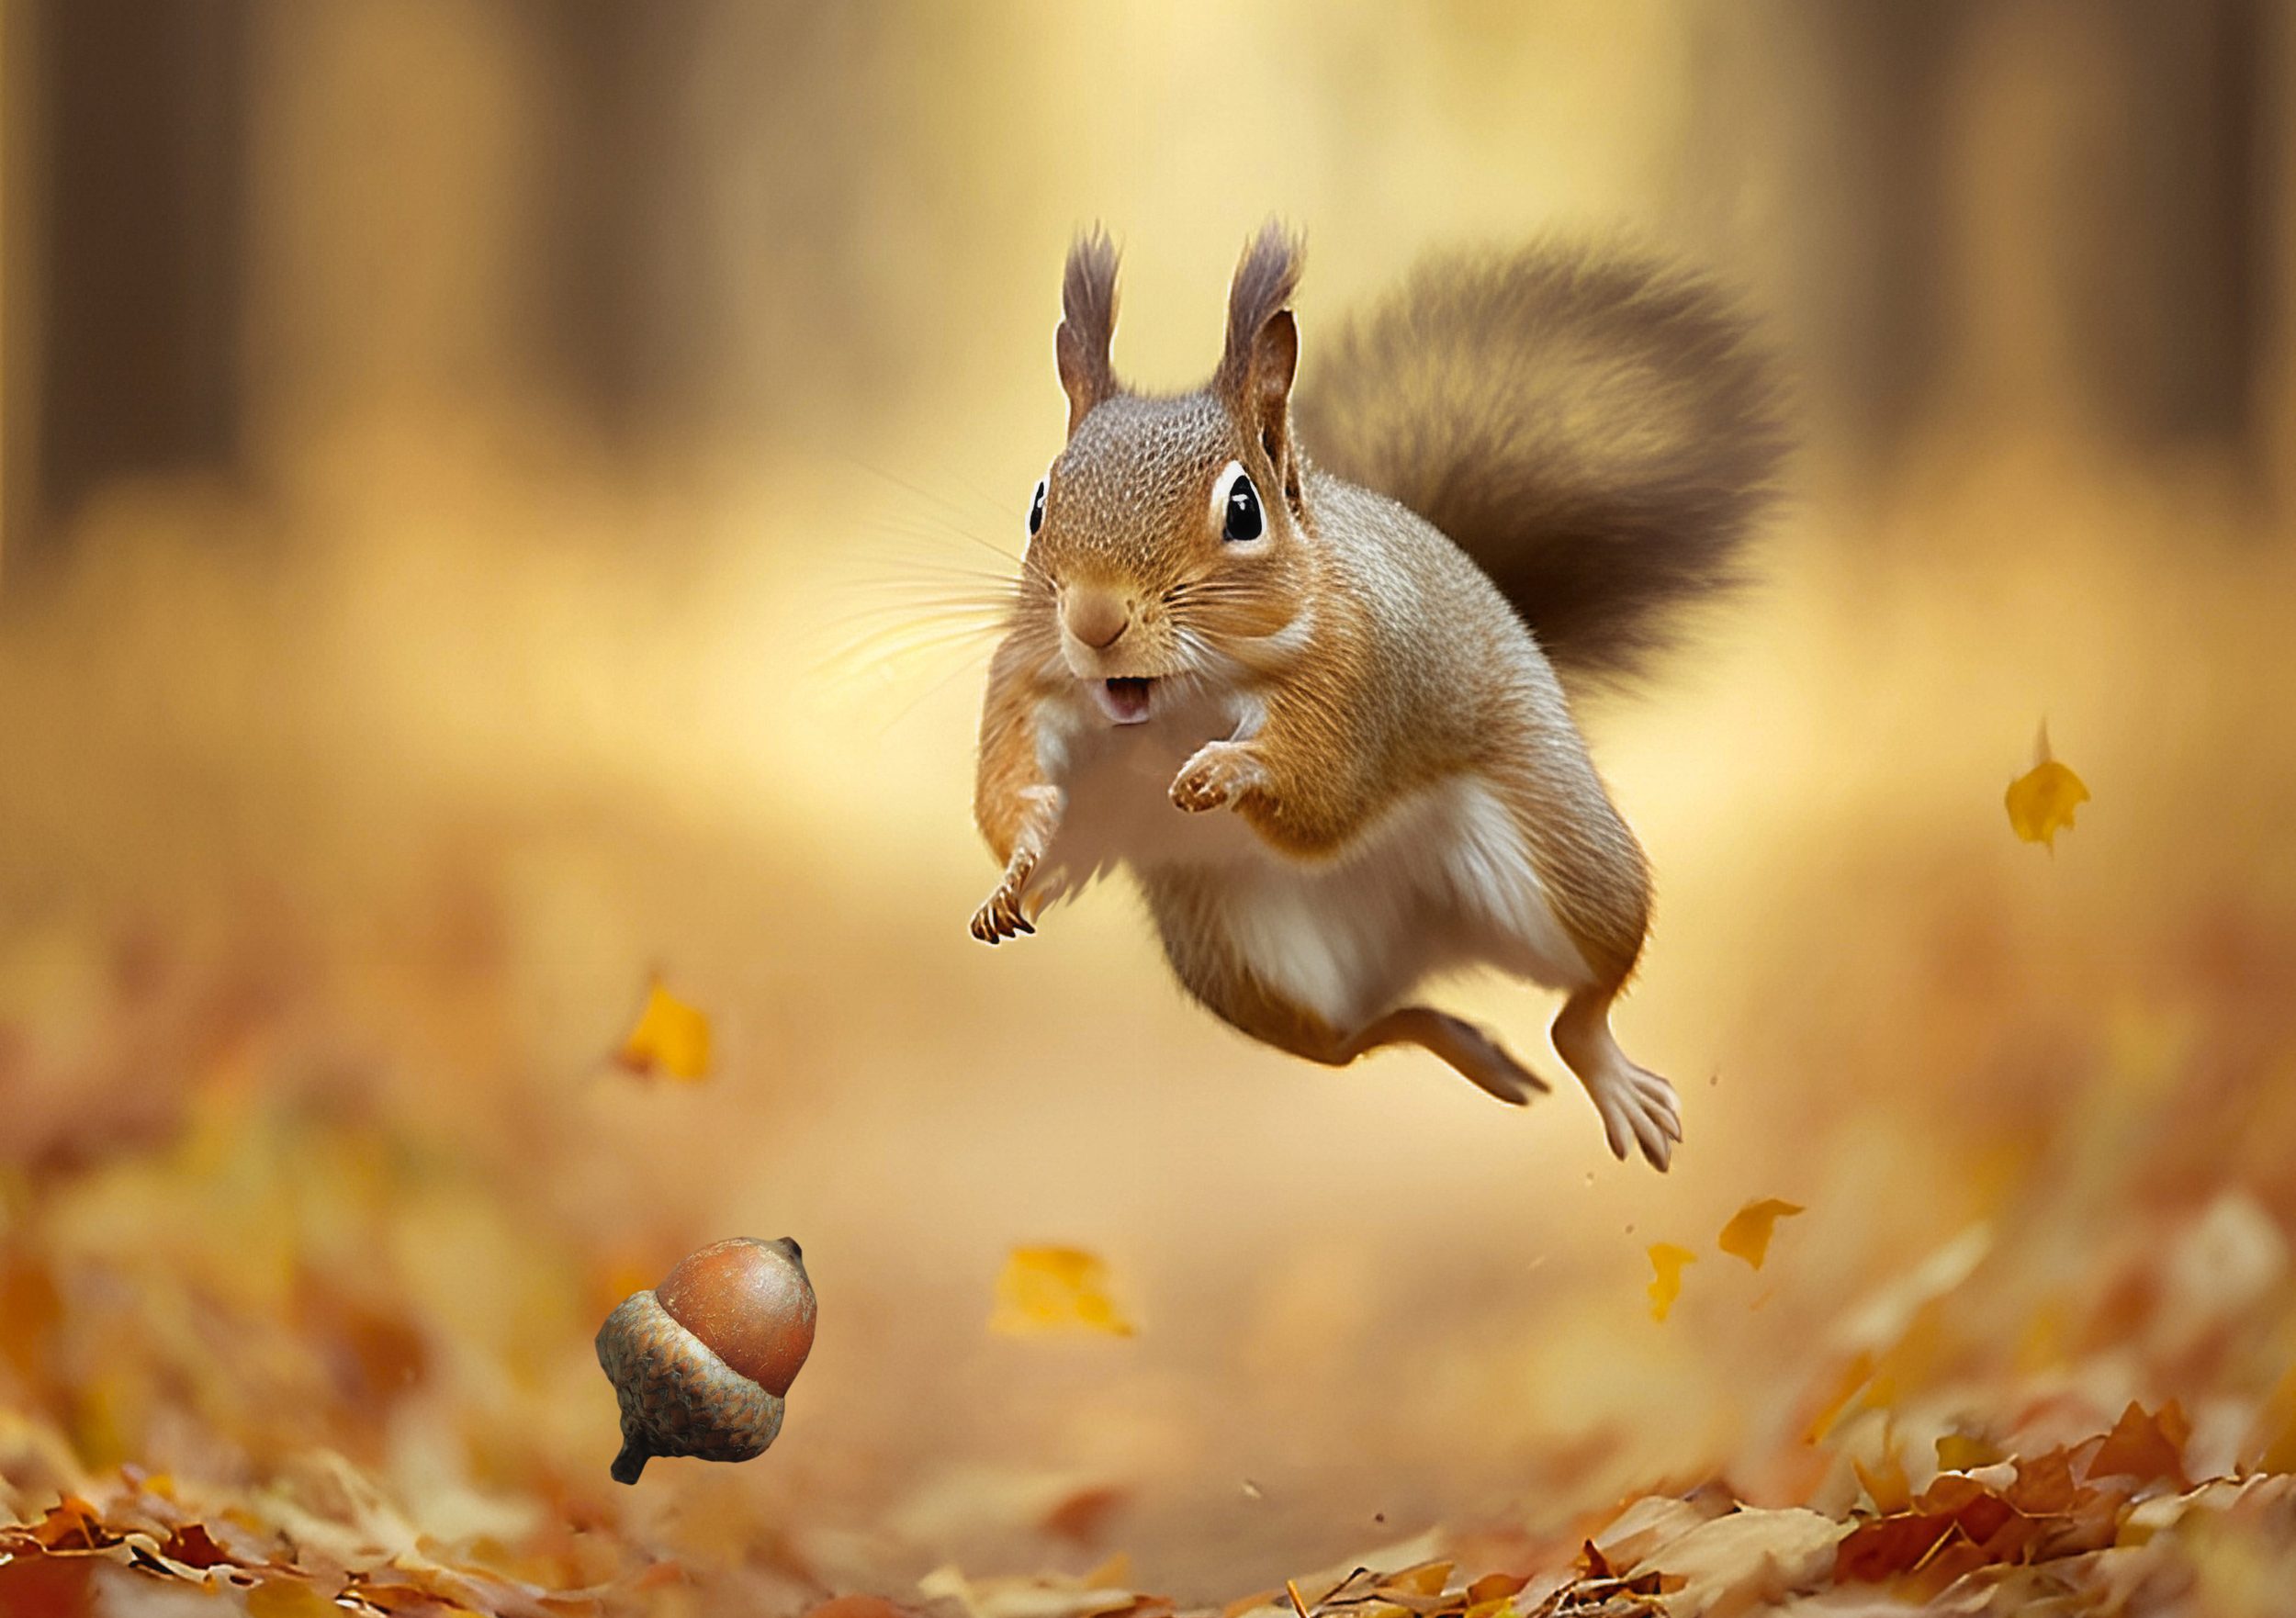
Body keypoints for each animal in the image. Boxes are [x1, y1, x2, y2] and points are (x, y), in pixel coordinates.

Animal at [969, 223, 1783, 1169]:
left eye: (1243, 509)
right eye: (1038, 503)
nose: (1095, 620)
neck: (1178, 698)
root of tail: (1423, 945)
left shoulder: (1366, 681)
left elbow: (1325, 785)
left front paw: (1226, 772)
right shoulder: (1029, 681)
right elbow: (1016, 789)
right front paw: (1018, 876)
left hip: (1576, 868)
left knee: (1583, 1004)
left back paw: (1604, 1073)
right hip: (1248, 967)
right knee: (1360, 1036)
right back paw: (1463, 1044)